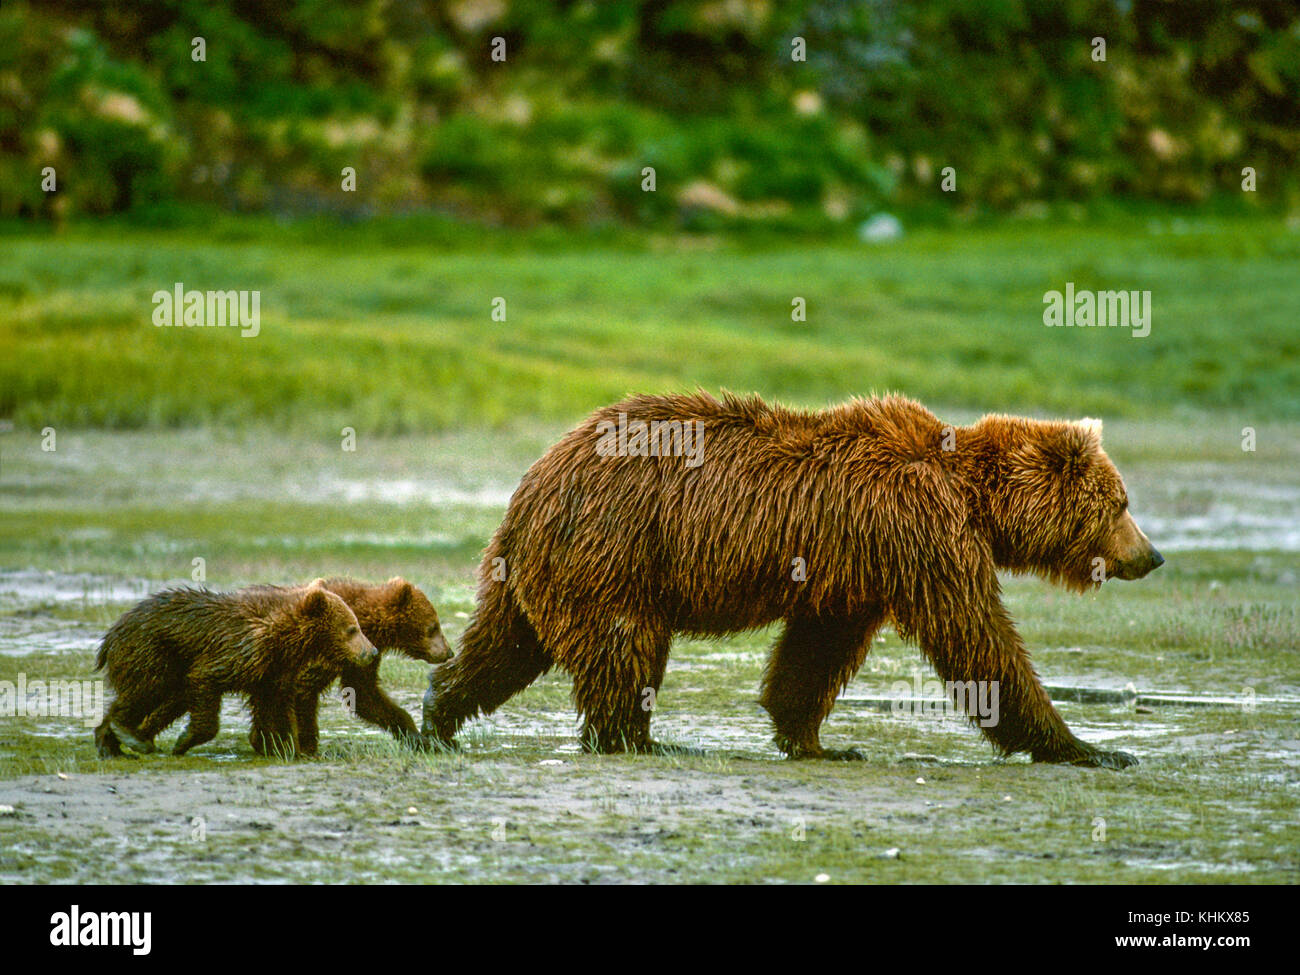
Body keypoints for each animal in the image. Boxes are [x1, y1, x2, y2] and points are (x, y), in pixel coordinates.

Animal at [94, 581, 377, 758]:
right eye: (352, 629)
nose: (372, 652)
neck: (283, 637)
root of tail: (111, 635)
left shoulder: (272, 669)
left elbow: (276, 704)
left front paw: (285, 746)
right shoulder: (237, 651)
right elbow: (207, 680)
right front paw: (184, 740)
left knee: (168, 699)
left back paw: (123, 742)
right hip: (153, 651)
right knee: (147, 689)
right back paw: (124, 734)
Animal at [244, 577, 451, 755]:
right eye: (434, 626)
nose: (449, 652)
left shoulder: (364, 653)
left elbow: (364, 692)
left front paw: (419, 738)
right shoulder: (328, 647)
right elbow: (303, 690)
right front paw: (304, 743)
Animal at [422, 391, 1163, 769]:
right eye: (1121, 501)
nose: (1153, 555)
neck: (971, 494)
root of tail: (534, 481)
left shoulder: (856, 568)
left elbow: (816, 651)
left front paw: (818, 739)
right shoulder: (919, 535)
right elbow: (978, 639)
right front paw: (1089, 747)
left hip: (536, 568)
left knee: (504, 644)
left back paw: (436, 710)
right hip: (618, 551)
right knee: (623, 644)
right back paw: (644, 736)